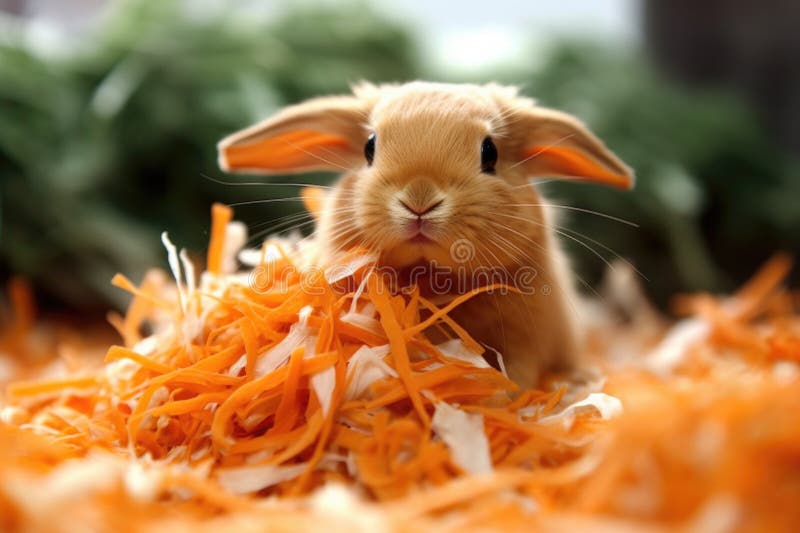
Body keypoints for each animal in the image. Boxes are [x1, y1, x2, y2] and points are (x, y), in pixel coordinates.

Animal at [217, 81, 633, 388]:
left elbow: (518, 374)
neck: (430, 277)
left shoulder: (525, 342)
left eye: (490, 152)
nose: (419, 201)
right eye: (370, 147)